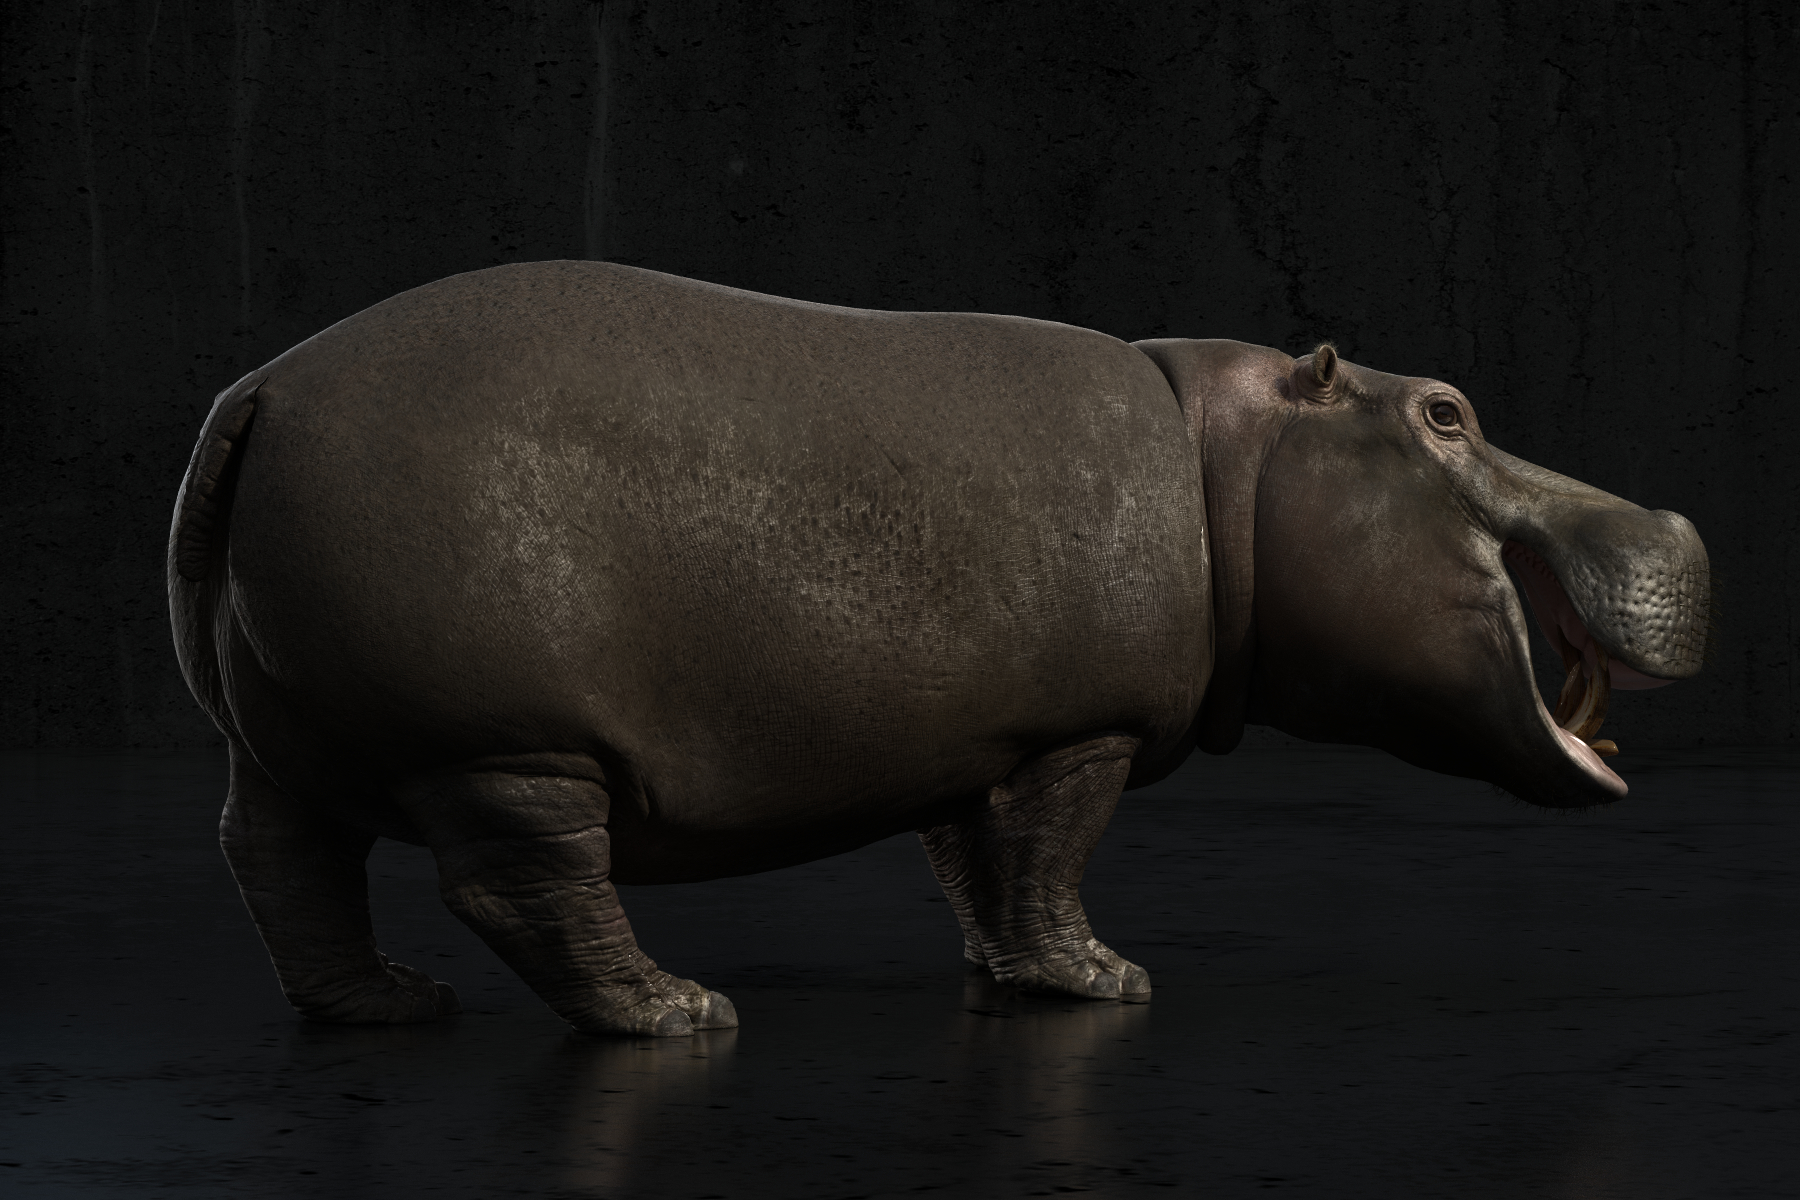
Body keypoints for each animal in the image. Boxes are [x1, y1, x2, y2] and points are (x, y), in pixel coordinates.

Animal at [169, 261, 1709, 1036]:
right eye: (1446, 410)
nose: (1685, 520)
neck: (1240, 451)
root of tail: (258, 388)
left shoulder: (986, 731)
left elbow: (983, 866)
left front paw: (1021, 980)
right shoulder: (1084, 730)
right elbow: (1051, 857)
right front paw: (1112, 984)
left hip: (284, 735)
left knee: (279, 859)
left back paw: (382, 1008)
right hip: (509, 745)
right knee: (523, 883)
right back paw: (679, 1012)